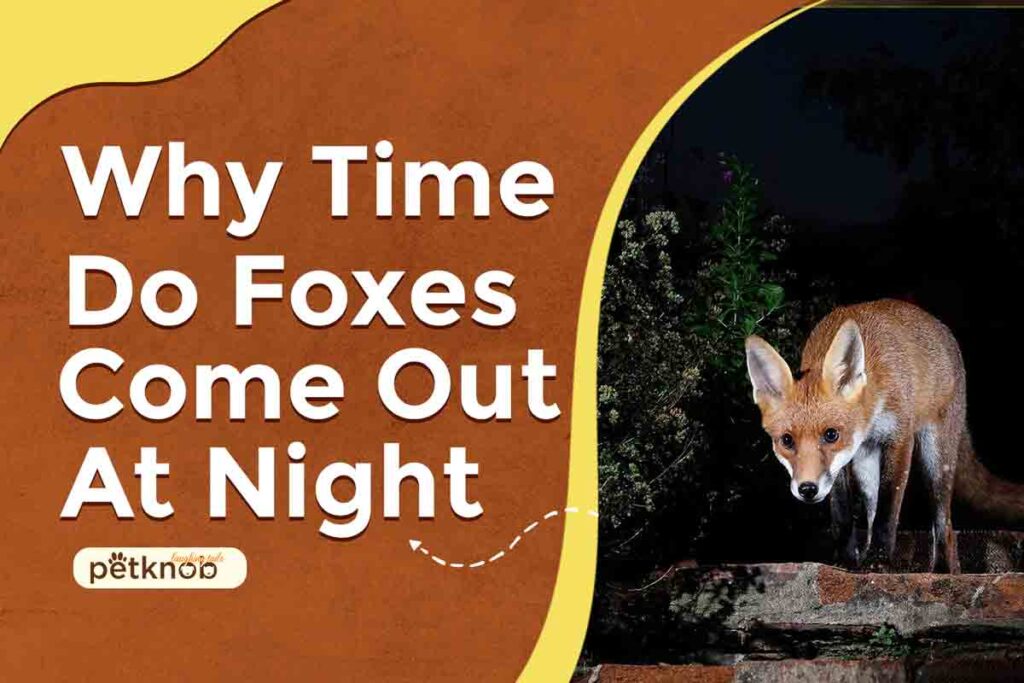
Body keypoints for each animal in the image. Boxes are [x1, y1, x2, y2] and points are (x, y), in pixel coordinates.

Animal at [745, 299, 1024, 573]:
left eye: (831, 434)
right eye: (787, 440)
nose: (807, 489)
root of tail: (942, 328)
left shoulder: (899, 439)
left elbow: (887, 511)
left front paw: (879, 560)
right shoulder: (846, 461)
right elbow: (843, 513)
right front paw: (845, 560)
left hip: (936, 459)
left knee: (944, 525)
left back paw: (945, 569)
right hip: (866, 466)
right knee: (870, 512)